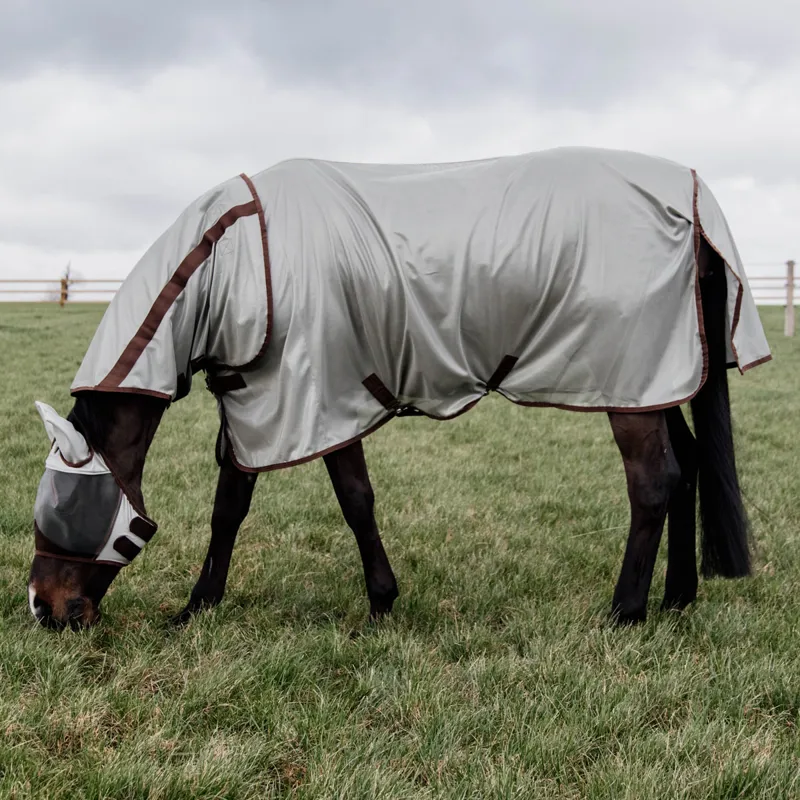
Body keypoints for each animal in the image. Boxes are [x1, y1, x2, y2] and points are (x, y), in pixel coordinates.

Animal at [26, 148, 770, 629]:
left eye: (63, 505)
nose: (43, 608)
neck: (239, 258)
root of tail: (691, 198)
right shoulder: (256, 406)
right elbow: (229, 508)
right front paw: (196, 608)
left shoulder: (321, 399)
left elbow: (354, 500)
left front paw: (380, 602)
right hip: (654, 379)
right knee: (687, 467)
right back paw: (676, 599)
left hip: (629, 387)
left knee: (653, 482)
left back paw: (625, 611)